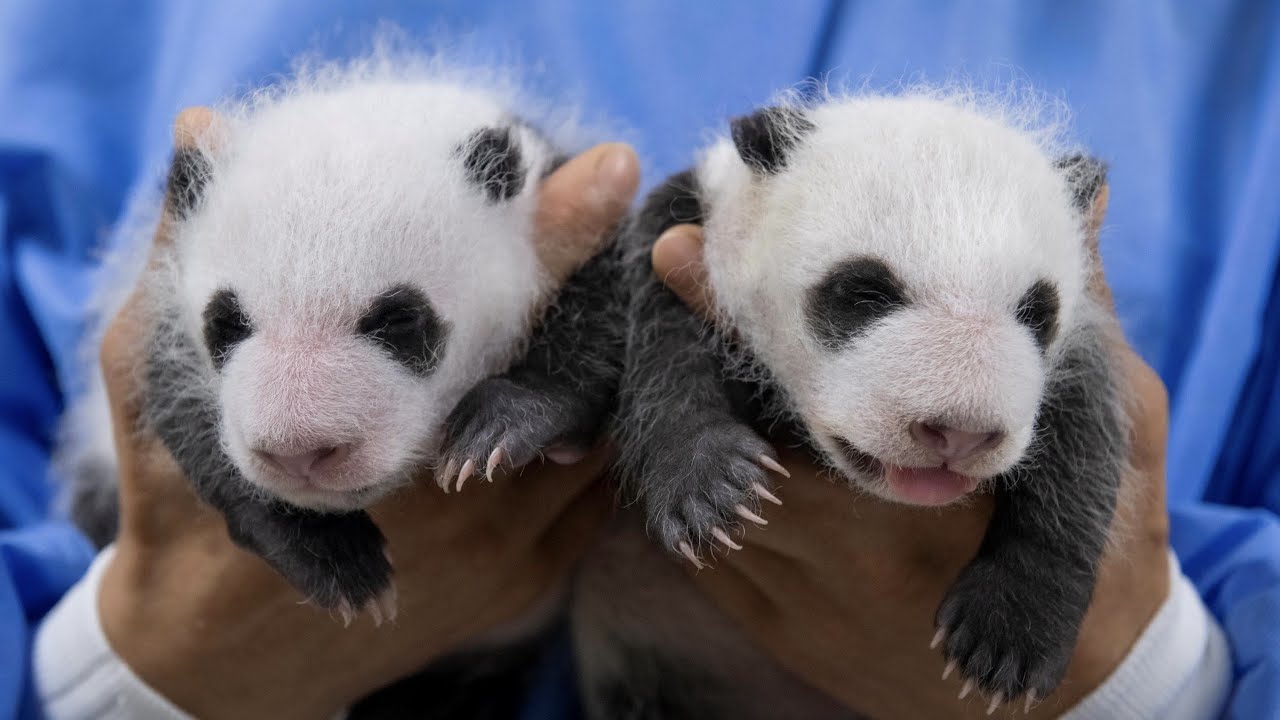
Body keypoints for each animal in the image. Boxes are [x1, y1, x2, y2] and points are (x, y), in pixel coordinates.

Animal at [55, 59, 626, 626]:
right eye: (227, 323)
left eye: (398, 319)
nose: (297, 455)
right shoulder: (164, 296)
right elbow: (180, 402)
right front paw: (335, 558)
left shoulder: (556, 194)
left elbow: (613, 295)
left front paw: (502, 422)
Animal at [573, 89, 1128, 718]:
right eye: (865, 292)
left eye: (1037, 310)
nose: (959, 434)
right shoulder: (684, 229)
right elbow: (659, 336)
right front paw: (708, 485)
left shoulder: (1083, 331)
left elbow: (1085, 437)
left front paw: (1010, 636)